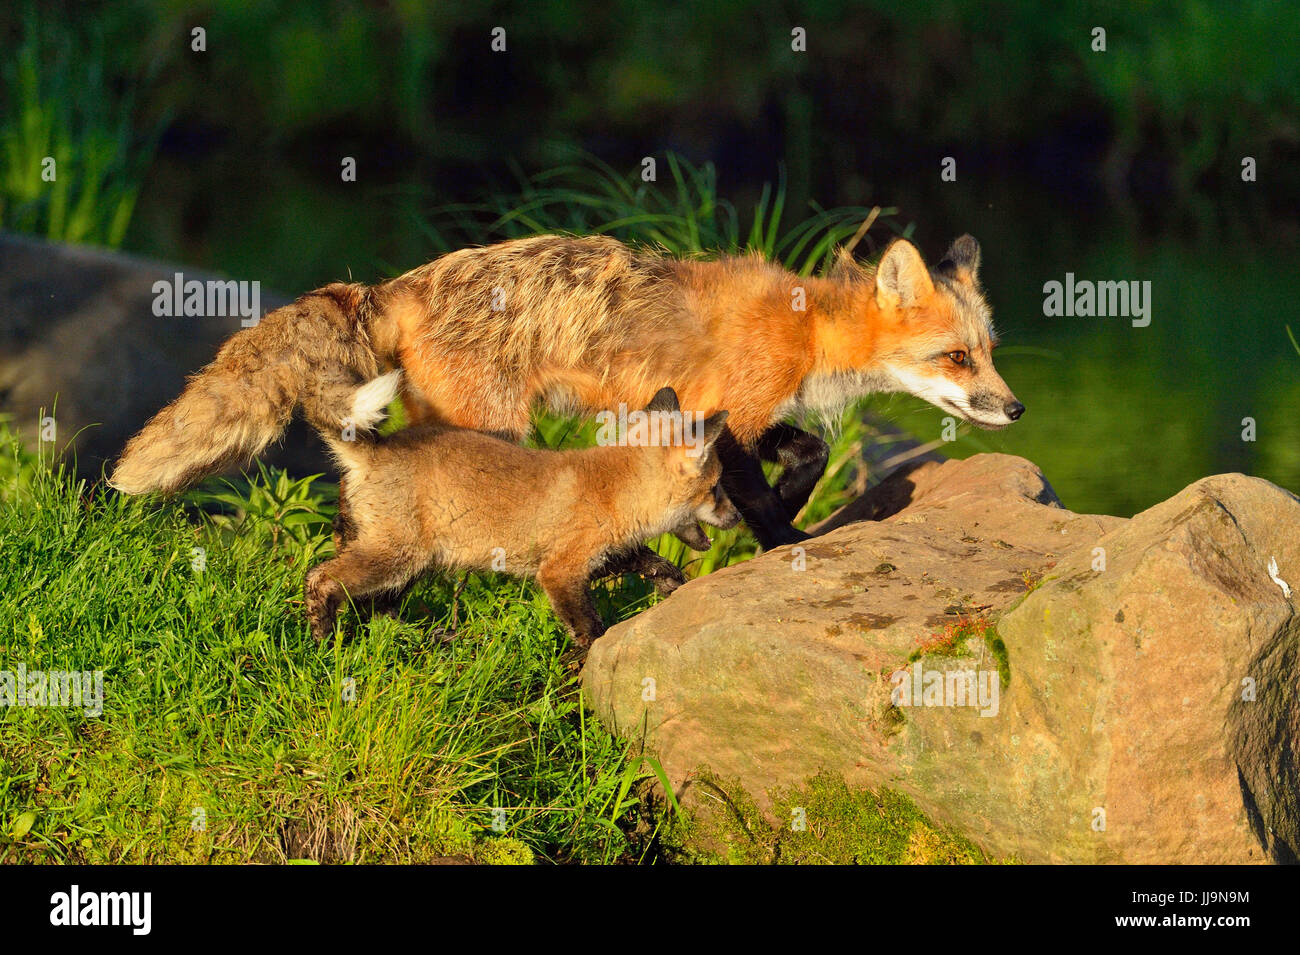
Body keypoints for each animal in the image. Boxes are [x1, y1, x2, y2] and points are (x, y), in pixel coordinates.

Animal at [109, 232, 1022, 549]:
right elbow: (771, 485)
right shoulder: (724, 412)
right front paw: (781, 541)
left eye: (988, 352)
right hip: (497, 430)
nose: (1015, 408)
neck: (805, 332)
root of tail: (399, 282)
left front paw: (790, 510)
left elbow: (808, 451)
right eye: (955, 358)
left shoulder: (744, 414)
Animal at [305, 378, 738, 647]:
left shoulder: (594, 556)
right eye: (717, 488)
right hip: (396, 557)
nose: (736, 518)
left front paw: (670, 580)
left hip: (403, 564)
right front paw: (589, 662)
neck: (615, 490)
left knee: (371, 607)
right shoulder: (560, 570)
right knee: (319, 579)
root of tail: (374, 448)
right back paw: (324, 642)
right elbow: (589, 627)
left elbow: (647, 559)